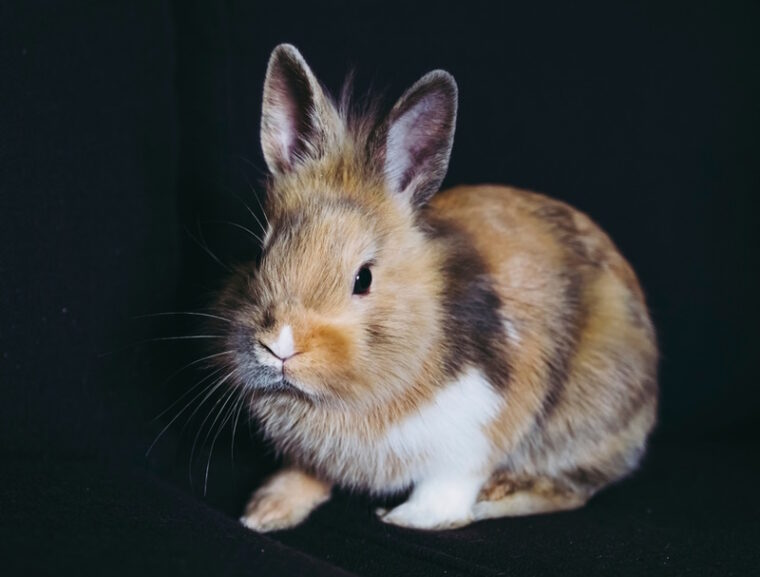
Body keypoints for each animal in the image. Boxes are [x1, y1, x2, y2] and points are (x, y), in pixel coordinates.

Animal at [213, 44, 658, 532]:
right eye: (260, 255)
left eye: (363, 278)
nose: (280, 345)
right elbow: (305, 471)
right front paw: (264, 512)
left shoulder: (477, 427)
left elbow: (449, 483)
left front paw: (409, 517)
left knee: (574, 489)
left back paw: (498, 497)